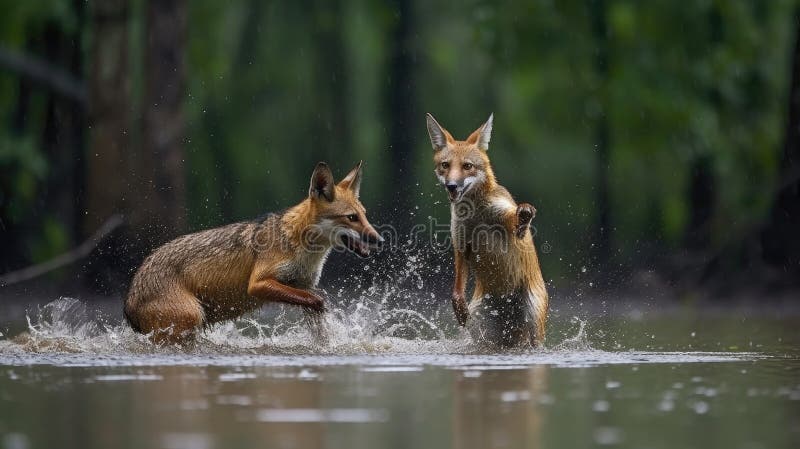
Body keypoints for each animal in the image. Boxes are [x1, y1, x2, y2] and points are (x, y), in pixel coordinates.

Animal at [124, 161, 383, 344]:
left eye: (364, 215)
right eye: (351, 218)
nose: (380, 240)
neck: (297, 244)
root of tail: (129, 300)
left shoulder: (303, 286)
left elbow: (317, 316)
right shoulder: (259, 283)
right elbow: (318, 300)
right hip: (191, 318)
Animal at [426, 113, 548, 348]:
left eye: (467, 166)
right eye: (445, 165)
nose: (451, 186)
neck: (476, 216)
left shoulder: (505, 221)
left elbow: (516, 219)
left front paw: (525, 214)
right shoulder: (461, 244)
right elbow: (456, 291)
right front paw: (460, 310)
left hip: (533, 329)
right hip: (485, 332)